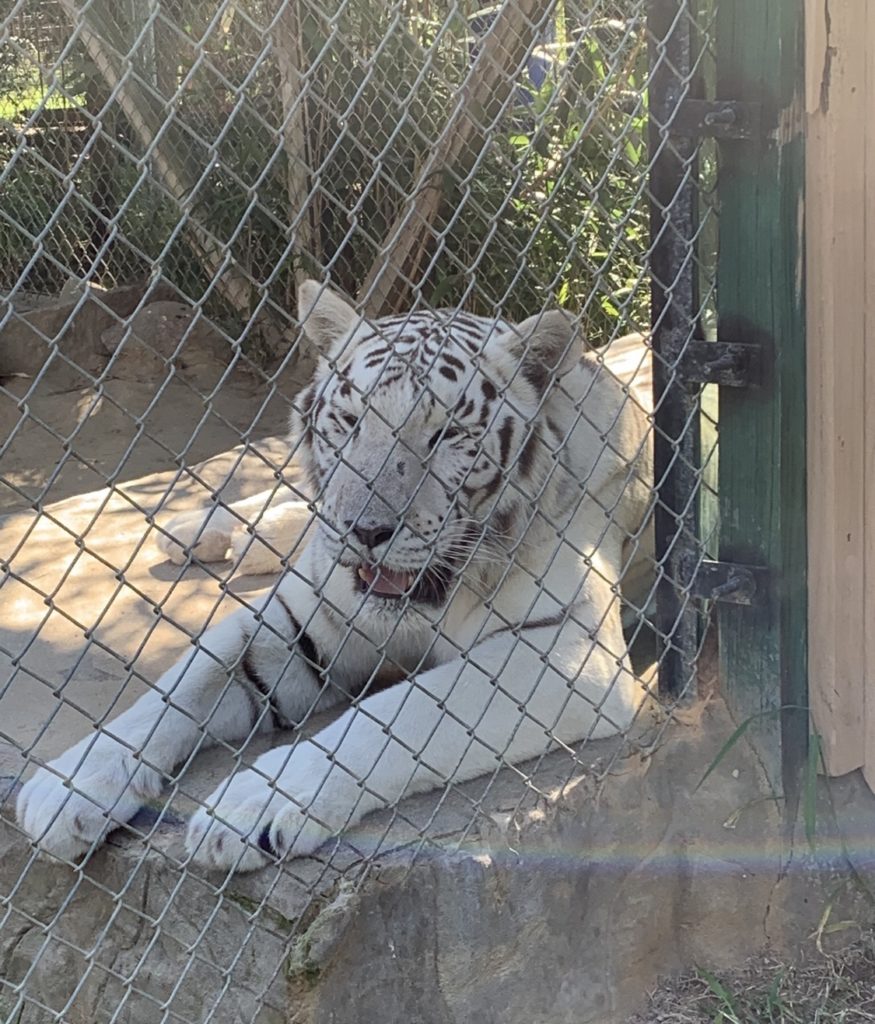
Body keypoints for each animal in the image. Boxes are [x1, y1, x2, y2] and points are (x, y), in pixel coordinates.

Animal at [16, 281, 653, 873]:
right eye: (348, 423)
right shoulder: (292, 624)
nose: (366, 530)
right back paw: (198, 531)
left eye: (447, 435)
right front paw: (64, 786)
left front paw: (248, 805)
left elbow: (398, 714)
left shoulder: (565, 648)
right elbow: (177, 688)